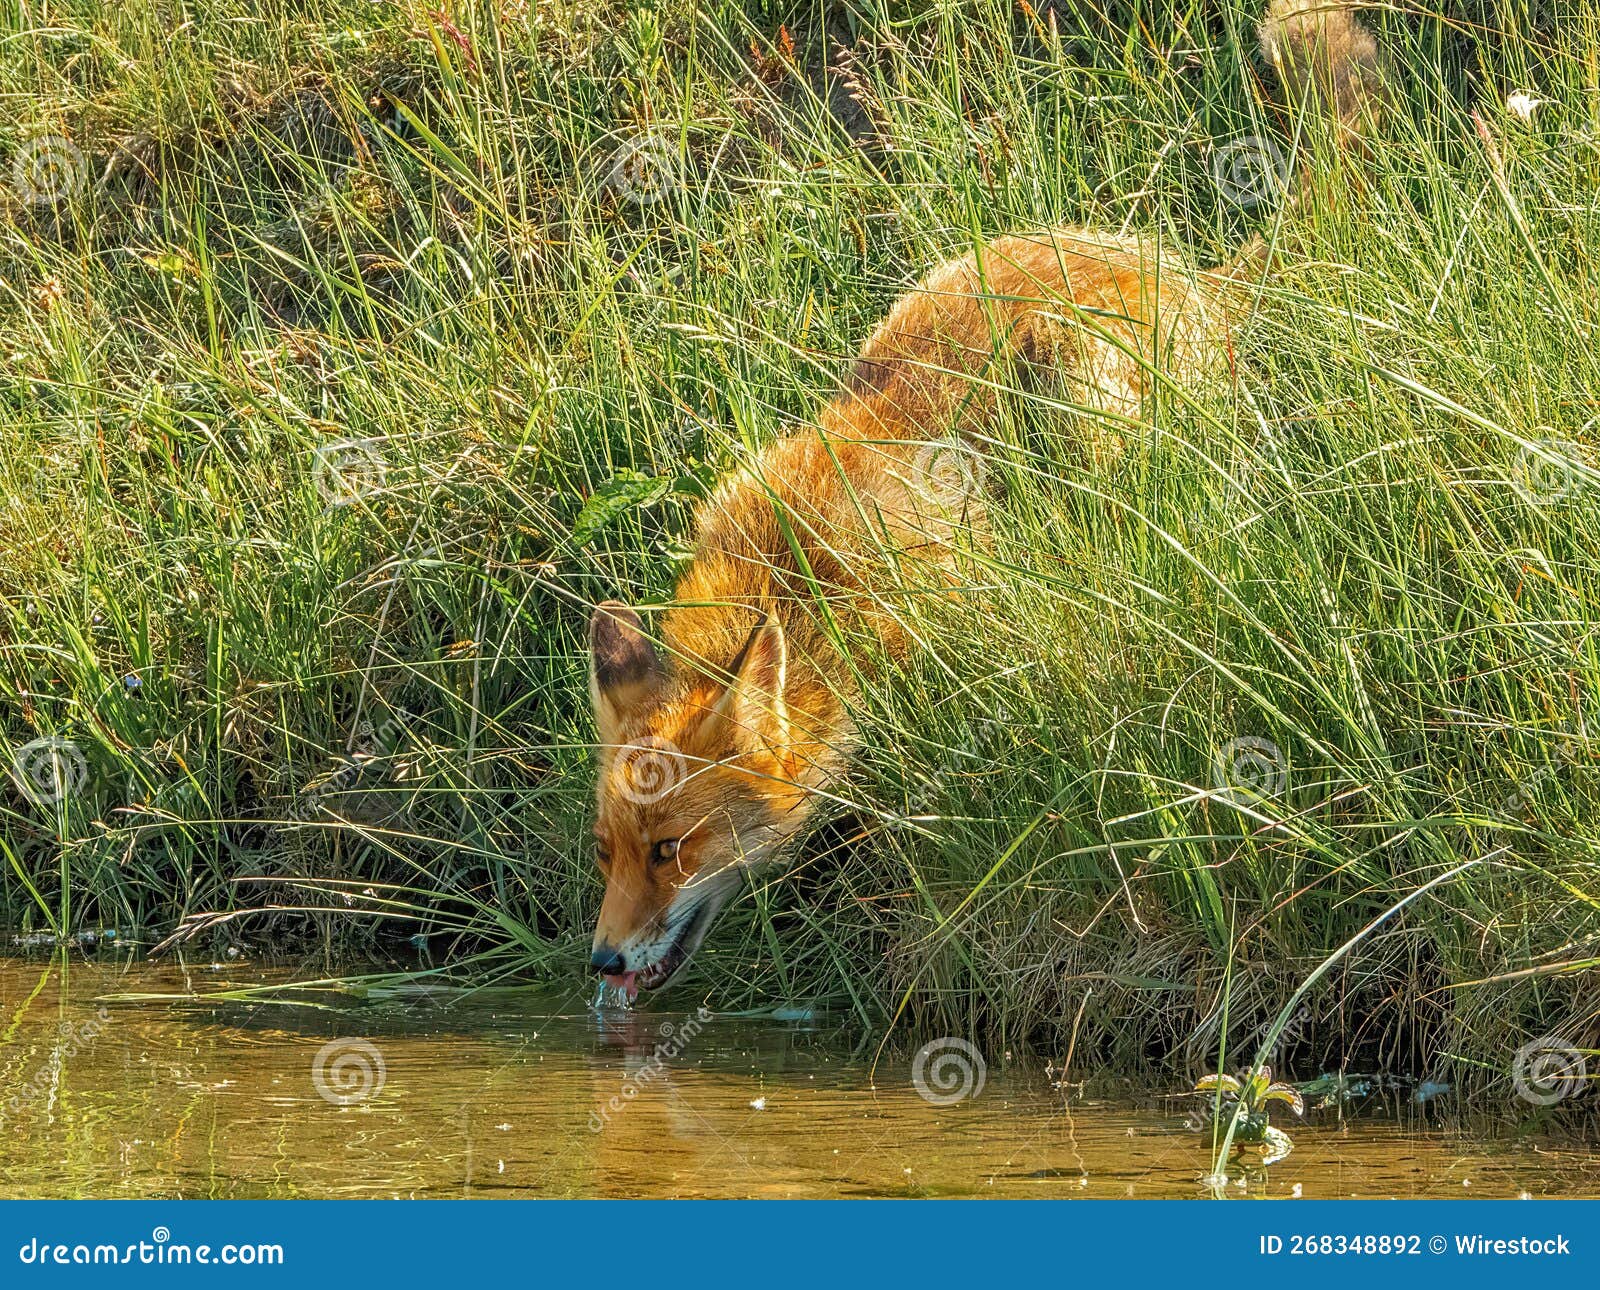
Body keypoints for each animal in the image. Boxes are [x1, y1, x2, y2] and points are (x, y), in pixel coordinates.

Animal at [586, 0, 1386, 1000]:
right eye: (606, 852)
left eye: (670, 851)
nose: (601, 958)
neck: (805, 585)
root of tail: (1182, 268)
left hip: (1083, 399)